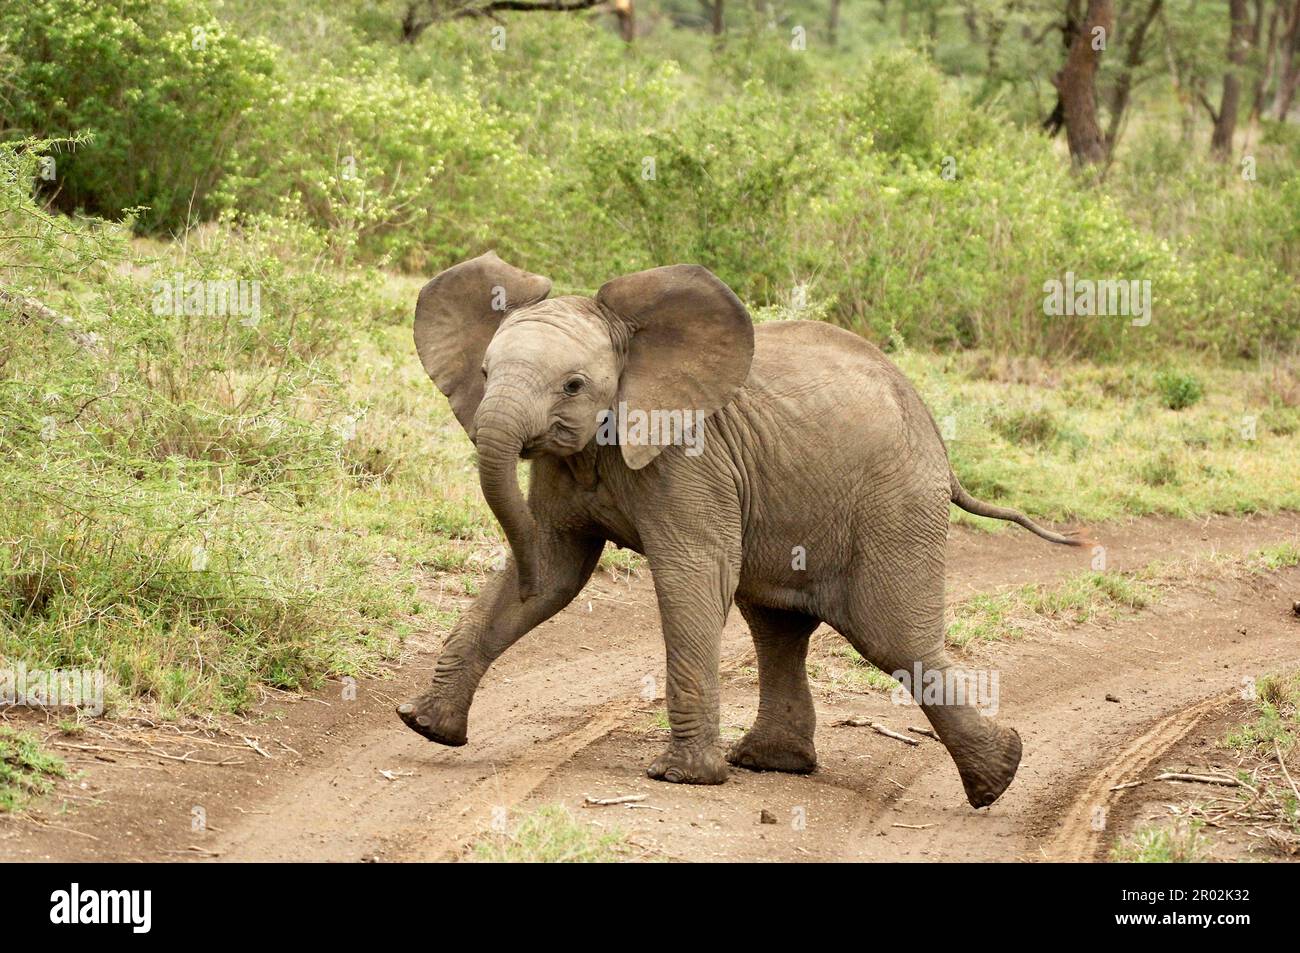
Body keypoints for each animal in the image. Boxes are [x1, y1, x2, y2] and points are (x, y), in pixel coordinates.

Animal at [396, 252, 1080, 808]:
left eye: (573, 385)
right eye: (486, 375)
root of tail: (939, 442)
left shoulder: (690, 459)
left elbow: (692, 575)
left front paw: (680, 778)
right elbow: (556, 570)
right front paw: (424, 727)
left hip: (896, 506)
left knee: (895, 640)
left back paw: (999, 779)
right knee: (779, 627)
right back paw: (771, 764)